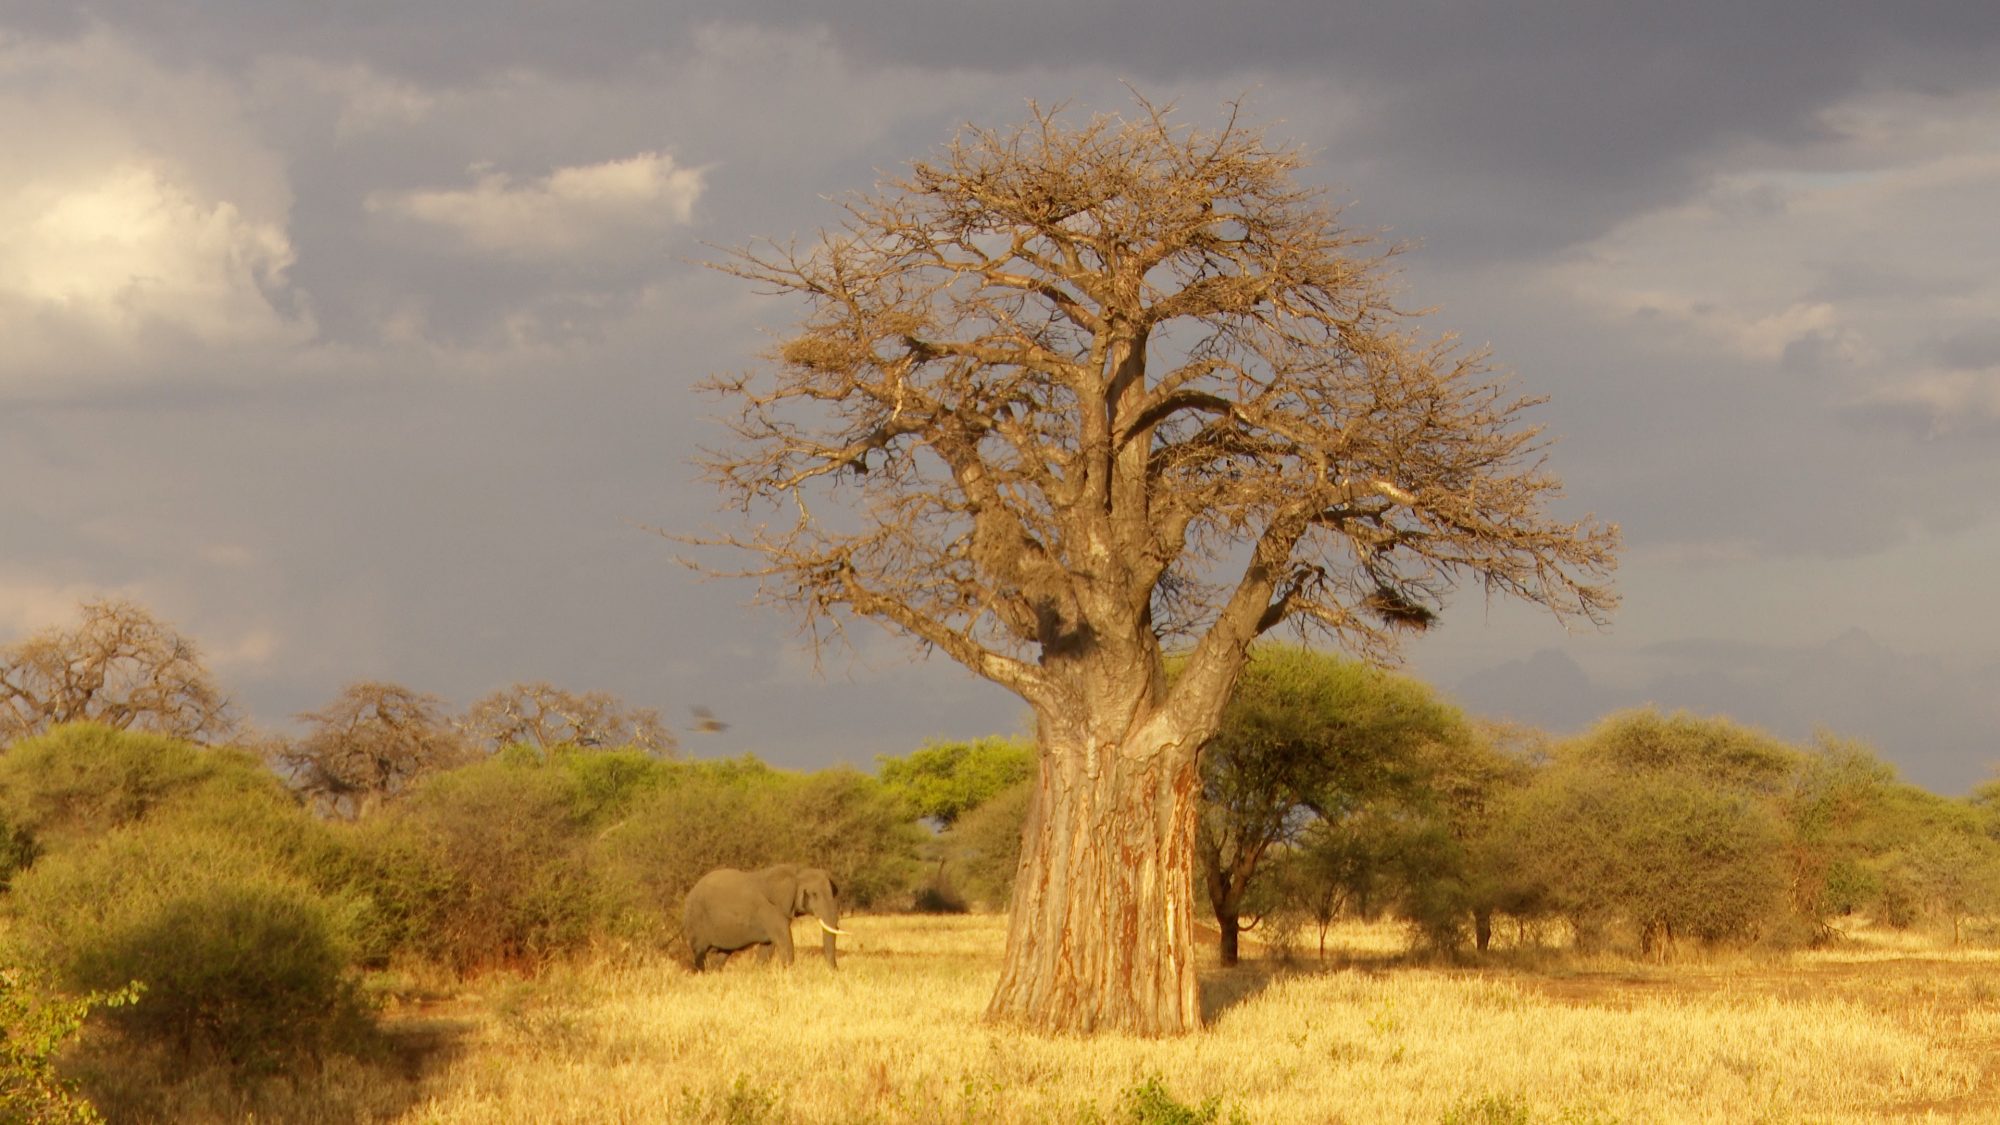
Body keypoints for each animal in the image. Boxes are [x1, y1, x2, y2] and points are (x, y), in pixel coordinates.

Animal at [683, 863, 849, 971]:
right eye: (813, 894)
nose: (836, 971)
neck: (796, 873)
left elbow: (768, 947)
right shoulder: (770, 910)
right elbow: (785, 942)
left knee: (722, 955)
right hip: (696, 919)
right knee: (700, 952)